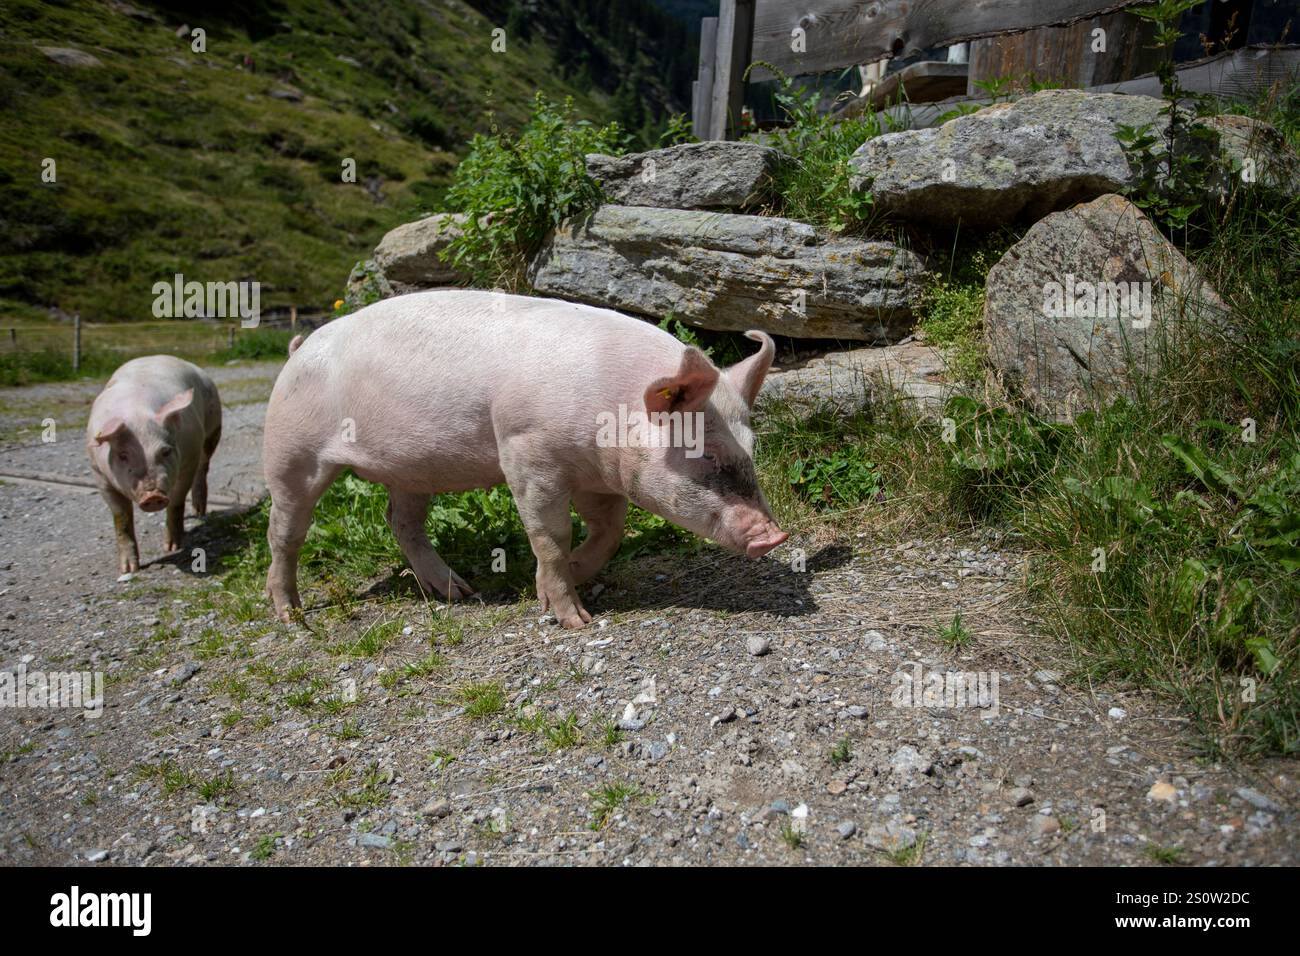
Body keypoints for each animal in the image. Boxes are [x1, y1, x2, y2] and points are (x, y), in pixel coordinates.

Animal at [85, 356, 222, 573]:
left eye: (165, 451)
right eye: (123, 455)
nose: (153, 495)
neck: (136, 411)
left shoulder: (188, 461)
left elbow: (176, 502)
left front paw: (172, 548)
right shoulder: (99, 475)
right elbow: (121, 518)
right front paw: (129, 569)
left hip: (213, 427)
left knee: (203, 466)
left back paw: (199, 511)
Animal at [262, 290, 788, 628]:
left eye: (753, 450)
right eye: (706, 454)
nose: (775, 535)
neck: (609, 415)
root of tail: (299, 346)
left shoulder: (597, 476)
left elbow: (609, 532)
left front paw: (550, 589)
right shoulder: (526, 451)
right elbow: (550, 536)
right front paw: (576, 621)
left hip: (412, 472)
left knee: (401, 521)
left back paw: (459, 593)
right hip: (290, 453)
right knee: (285, 531)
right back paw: (294, 618)